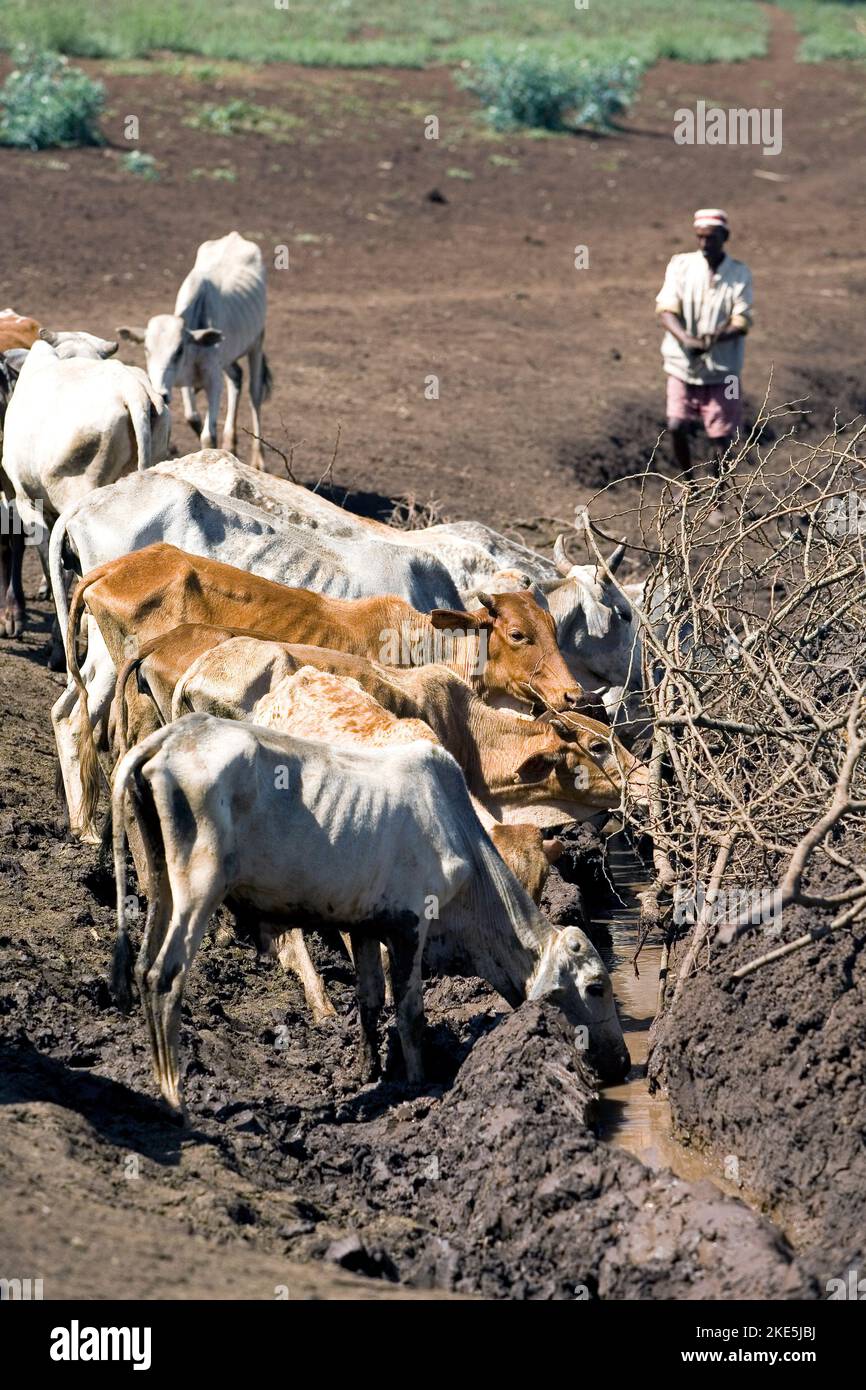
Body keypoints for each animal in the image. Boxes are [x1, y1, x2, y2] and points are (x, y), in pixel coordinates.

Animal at [111, 713, 630, 1113]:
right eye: (596, 988)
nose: (624, 1064)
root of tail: (168, 737)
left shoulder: (363, 925)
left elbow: (369, 1001)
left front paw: (368, 1072)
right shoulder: (410, 924)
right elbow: (410, 1010)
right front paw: (419, 1082)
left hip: (160, 880)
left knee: (142, 966)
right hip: (200, 884)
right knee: (164, 975)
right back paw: (174, 1097)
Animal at [117, 232, 270, 467]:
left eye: (179, 350)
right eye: (146, 349)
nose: (161, 393)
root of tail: (235, 236)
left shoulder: (213, 380)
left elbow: (208, 434)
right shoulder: (185, 380)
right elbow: (193, 418)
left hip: (257, 342)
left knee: (254, 394)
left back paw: (258, 459)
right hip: (229, 358)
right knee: (236, 377)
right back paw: (231, 444)